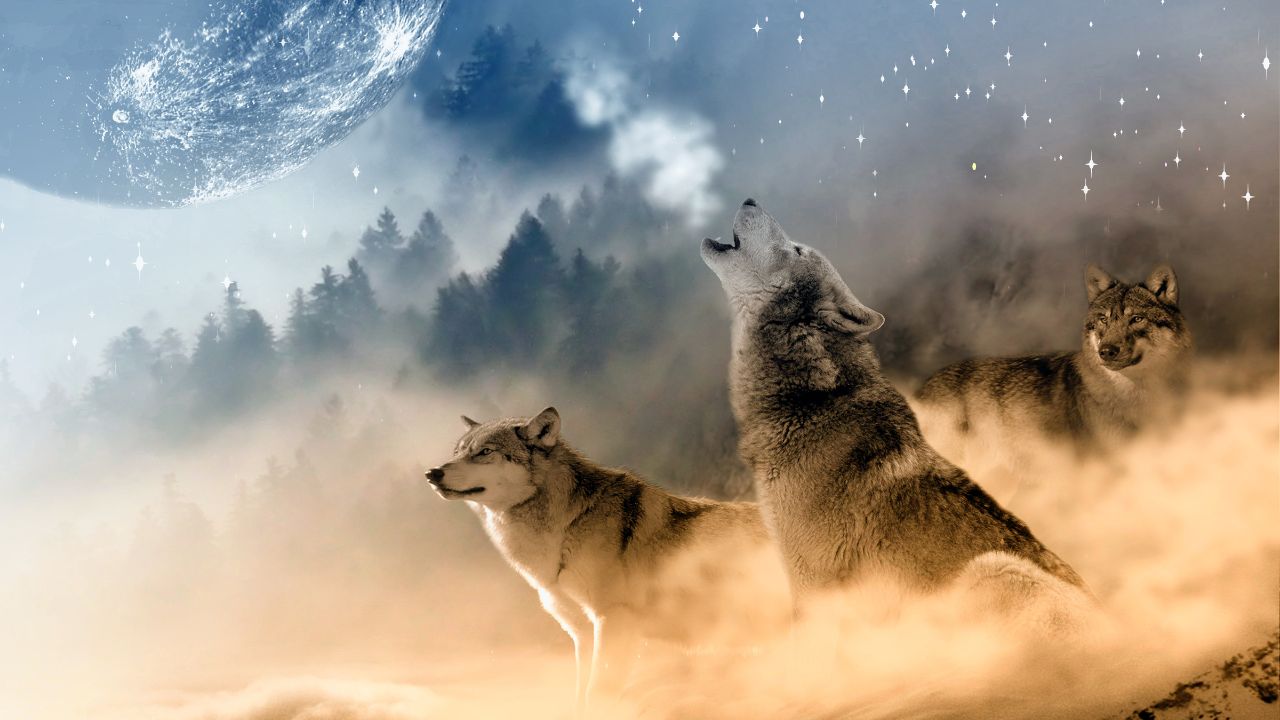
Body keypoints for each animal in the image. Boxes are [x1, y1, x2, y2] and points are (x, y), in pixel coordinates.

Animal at [426, 407, 789, 714]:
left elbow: (598, 694)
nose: (433, 473)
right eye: (458, 452)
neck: (565, 527)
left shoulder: (613, 622)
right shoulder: (582, 634)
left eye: (484, 452)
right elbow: (580, 697)